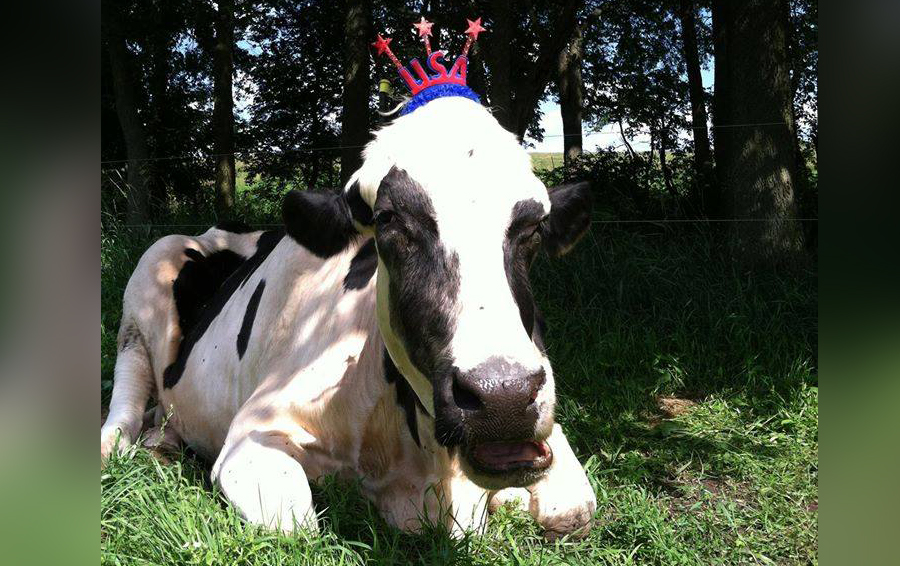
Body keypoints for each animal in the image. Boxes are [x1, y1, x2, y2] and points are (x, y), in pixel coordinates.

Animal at [101, 96, 596, 539]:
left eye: (534, 227)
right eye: (388, 219)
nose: (503, 397)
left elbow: (574, 508)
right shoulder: (250, 433)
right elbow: (296, 523)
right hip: (148, 278)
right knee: (125, 402)